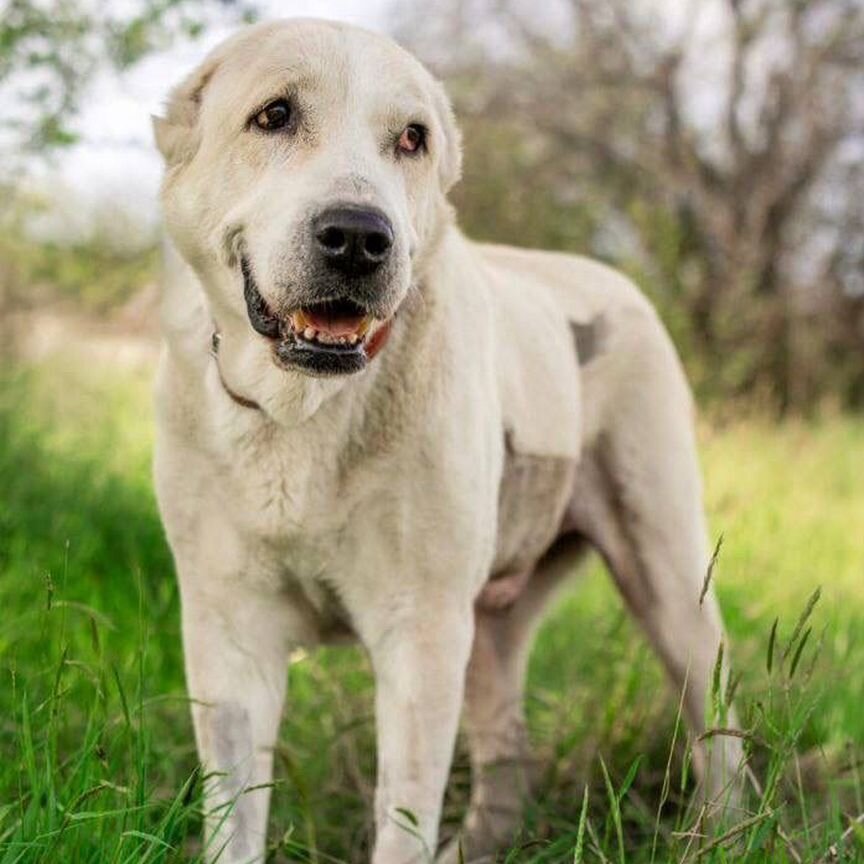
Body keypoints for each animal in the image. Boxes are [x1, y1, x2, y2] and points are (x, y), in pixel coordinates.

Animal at [150, 18, 744, 864]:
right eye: (274, 116)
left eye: (412, 138)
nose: (358, 237)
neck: (303, 412)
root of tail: (616, 282)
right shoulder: (230, 633)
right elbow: (234, 815)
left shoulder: (421, 634)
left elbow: (401, 813)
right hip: (491, 630)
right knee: (510, 756)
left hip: (667, 574)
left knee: (717, 722)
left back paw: (721, 834)